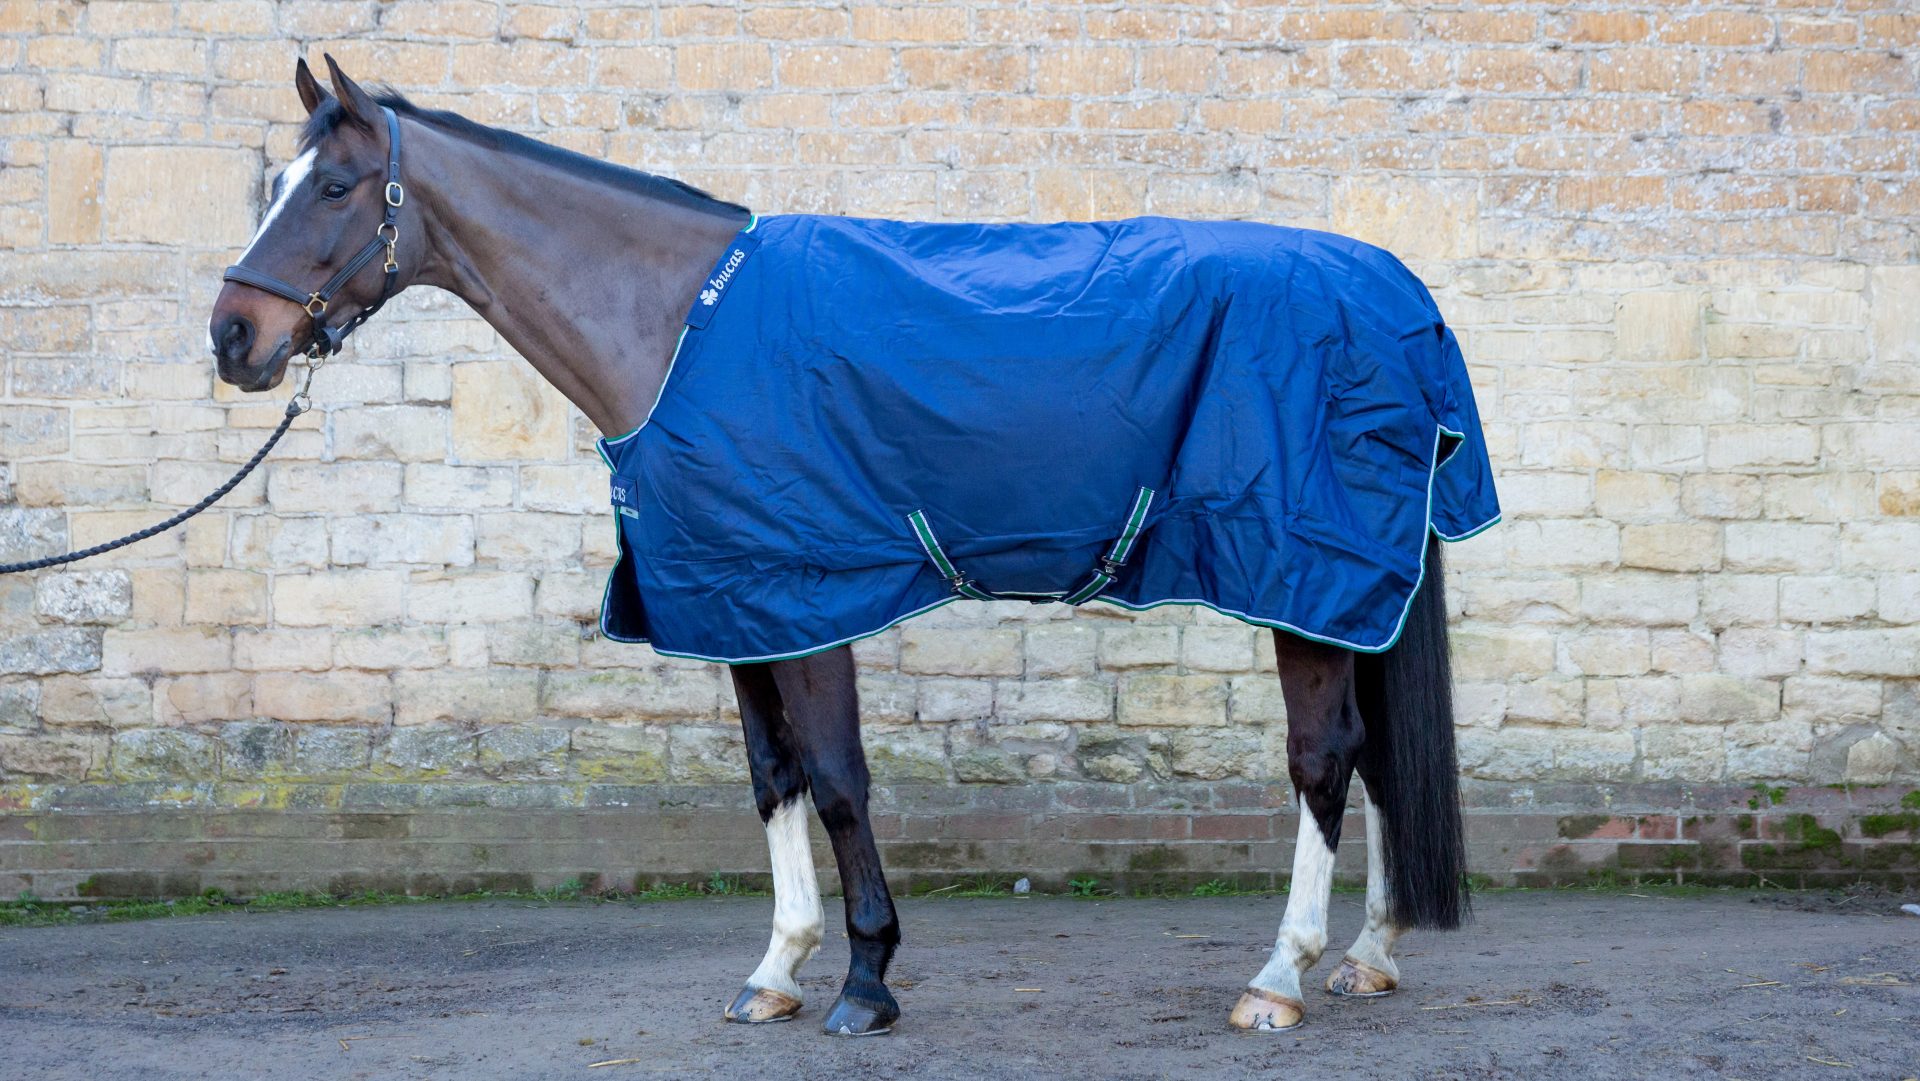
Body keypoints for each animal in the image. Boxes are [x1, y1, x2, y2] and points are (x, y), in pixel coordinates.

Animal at [207, 57, 1497, 1038]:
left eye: (334, 186)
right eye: (271, 182)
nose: (233, 336)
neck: (679, 328)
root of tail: (1400, 293)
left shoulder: (808, 593)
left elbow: (835, 779)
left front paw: (867, 979)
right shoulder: (727, 599)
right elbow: (772, 778)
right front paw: (777, 969)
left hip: (1305, 575)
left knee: (1324, 758)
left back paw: (1280, 976)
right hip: (1350, 593)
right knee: (1378, 758)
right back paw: (1370, 955)